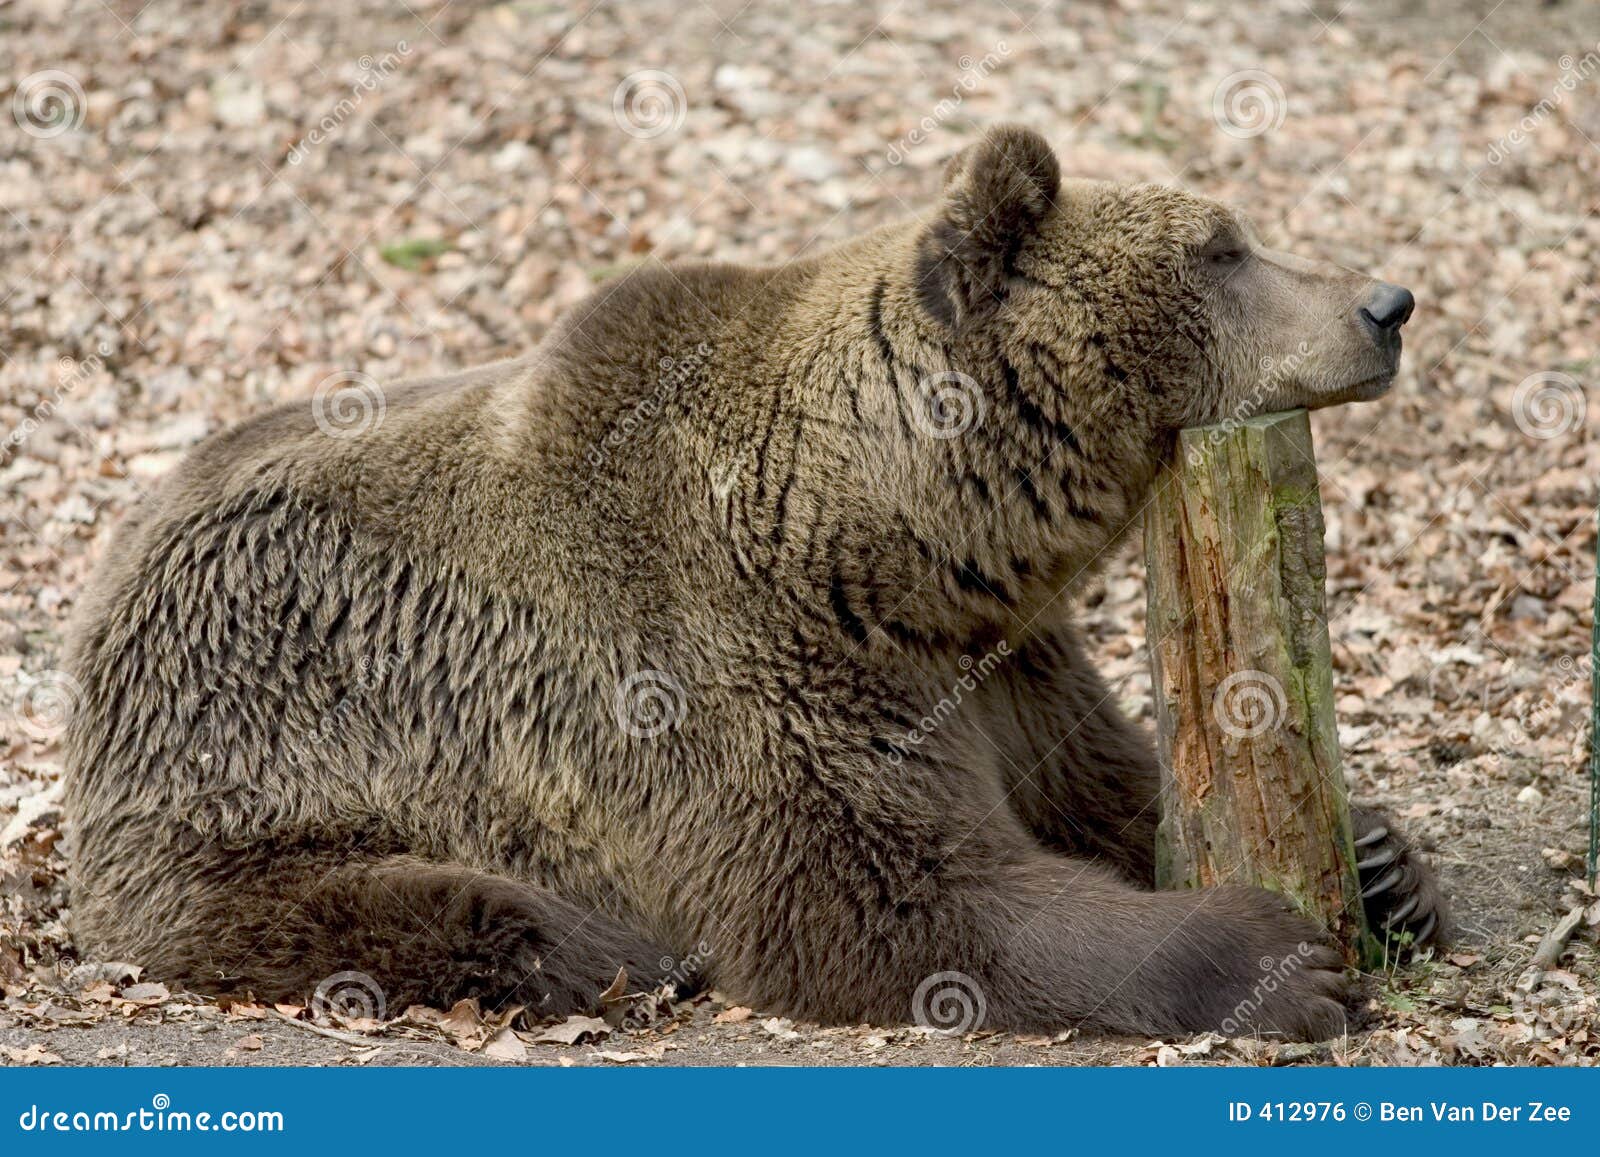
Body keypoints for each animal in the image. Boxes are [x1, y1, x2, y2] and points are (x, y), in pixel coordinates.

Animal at [63, 124, 1441, 1040]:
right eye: (1224, 248)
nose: (1386, 300)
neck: (885, 541)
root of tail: (113, 567)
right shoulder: (720, 659)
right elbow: (876, 891)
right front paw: (1274, 955)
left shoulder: (1003, 655)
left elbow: (1096, 783)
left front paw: (1380, 857)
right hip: (254, 746)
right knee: (429, 909)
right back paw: (606, 952)